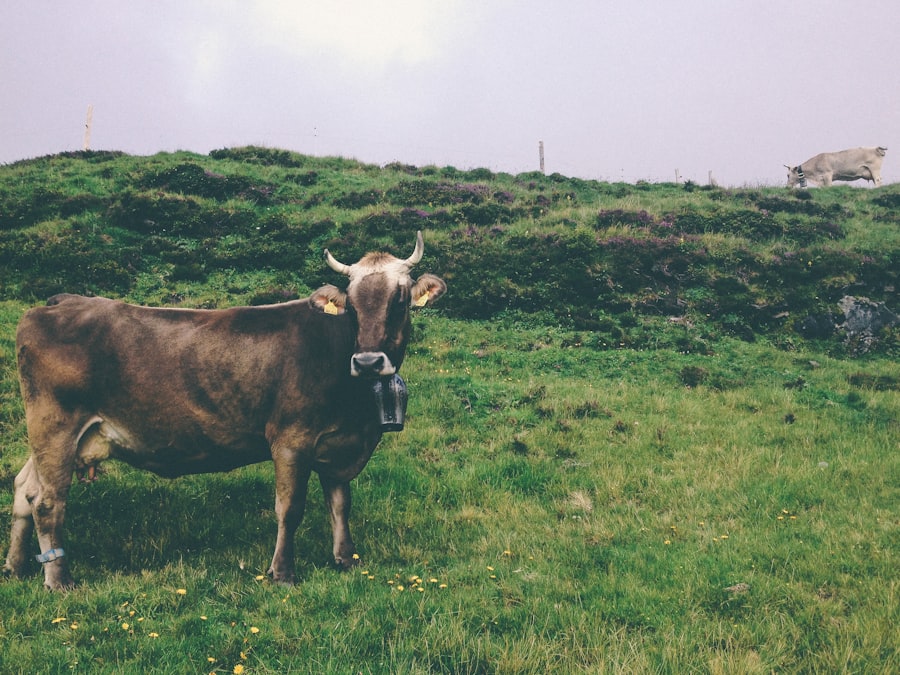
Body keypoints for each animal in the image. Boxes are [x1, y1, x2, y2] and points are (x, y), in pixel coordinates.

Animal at [3, 231, 446, 590]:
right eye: (350, 305)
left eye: (400, 299)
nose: (368, 361)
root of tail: (60, 301)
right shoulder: (291, 440)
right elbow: (290, 508)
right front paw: (283, 573)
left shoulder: (339, 443)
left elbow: (339, 503)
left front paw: (345, 559)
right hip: (56, 426)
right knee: (48, 502)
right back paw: (59, 580)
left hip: (57, 436)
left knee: (25, 489)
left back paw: (15, 566)